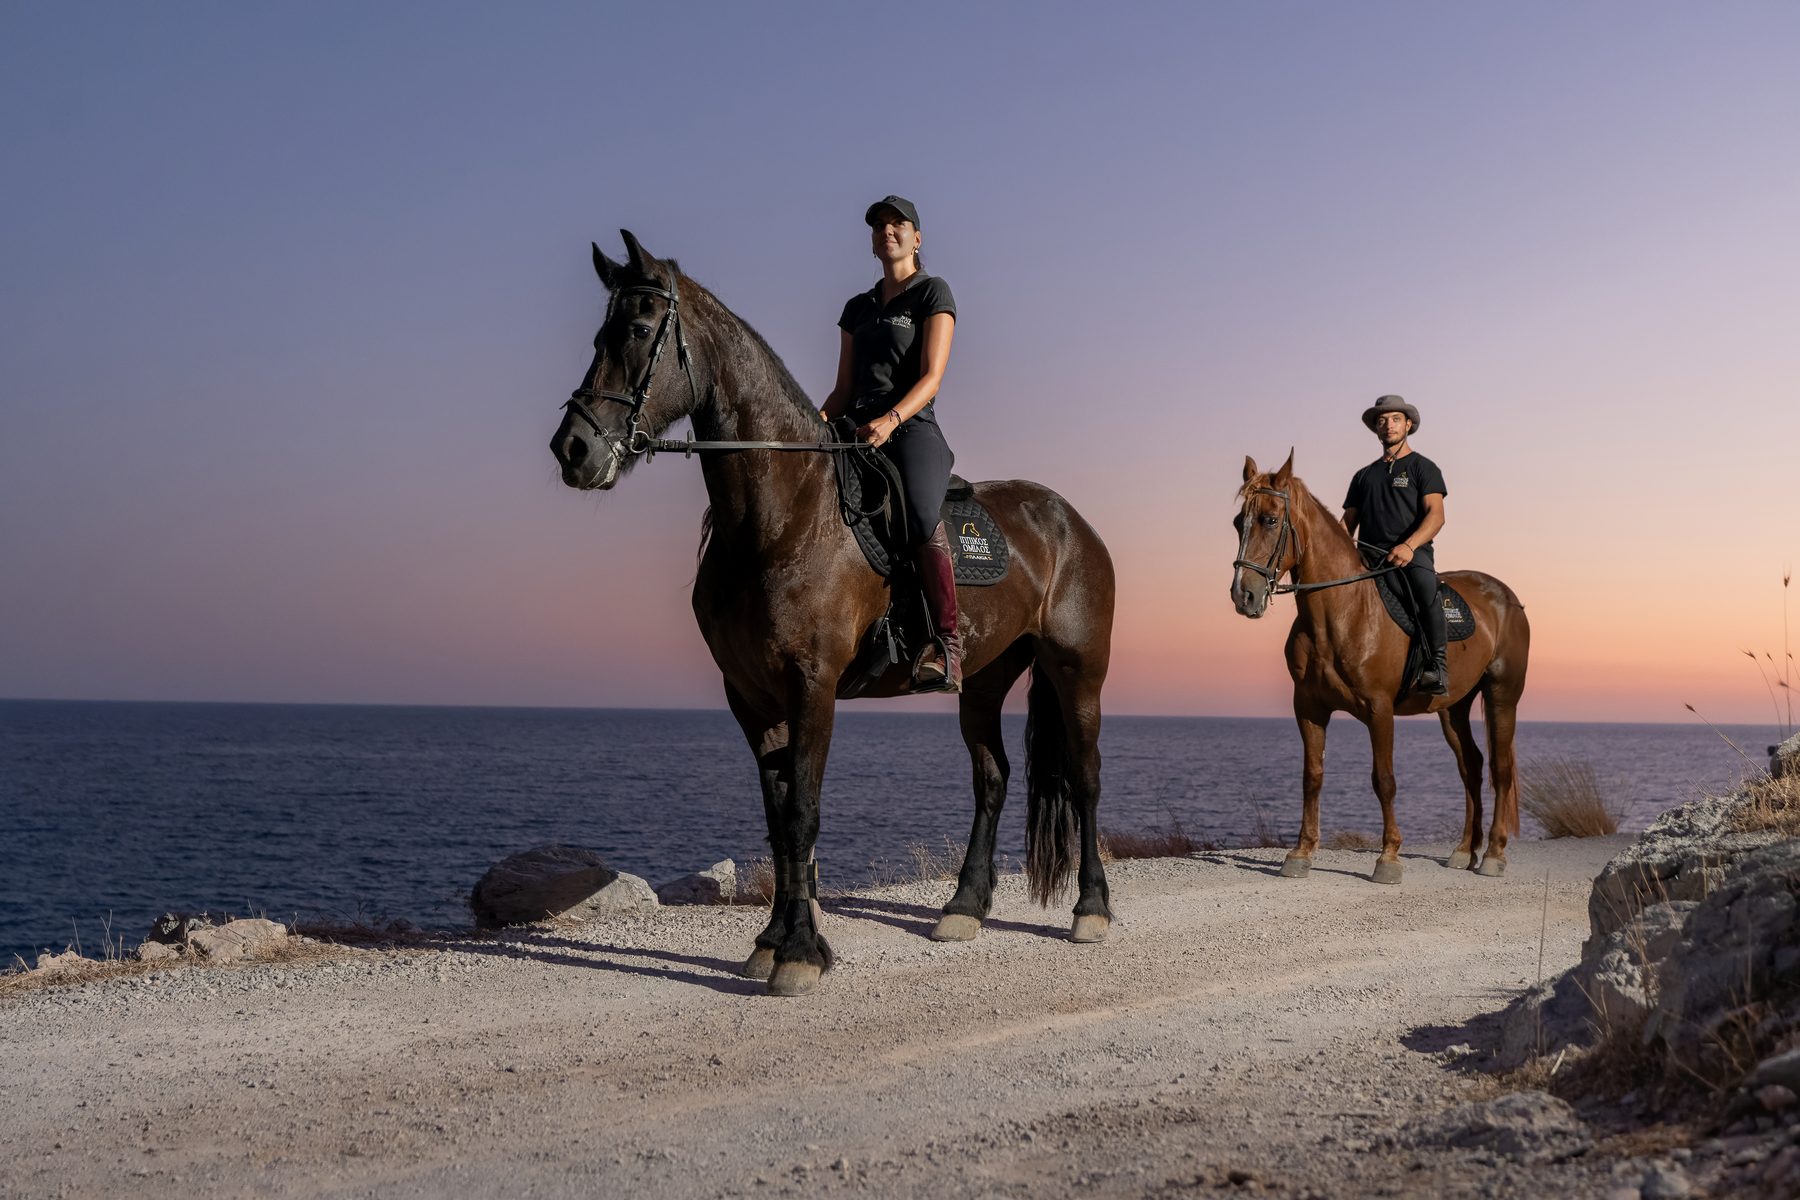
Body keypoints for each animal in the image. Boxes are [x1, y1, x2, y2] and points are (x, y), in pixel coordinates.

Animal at [548, 232, 1116, 996]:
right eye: (597, 336)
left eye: (637, 331)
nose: (572, 449)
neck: (782, 513)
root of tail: (1072, 522)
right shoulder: (750, 695)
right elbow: (776, 816)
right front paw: (772, 942)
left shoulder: (812, 684)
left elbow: (802, 813)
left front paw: (799, 952)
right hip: (985, 680)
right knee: (991, 779)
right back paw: (963, 908)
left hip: (1076, 672)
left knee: (1085, 780)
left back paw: (1092, 910)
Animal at [1228, 453, 1530, 882]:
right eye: (1239, 522)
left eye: (1270, 519)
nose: (1244, 595)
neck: (1342, 612)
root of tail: (1508, 597)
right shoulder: (1308, 708)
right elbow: (1312, 776)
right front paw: (1301, 853)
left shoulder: (1379, 709)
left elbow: (1383, 780)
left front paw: (1388, 858)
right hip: (1453, 707)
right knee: (1471, 766)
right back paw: (1463, 851)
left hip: (1502, 695)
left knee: (1501, 768)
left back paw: (1493, 854)